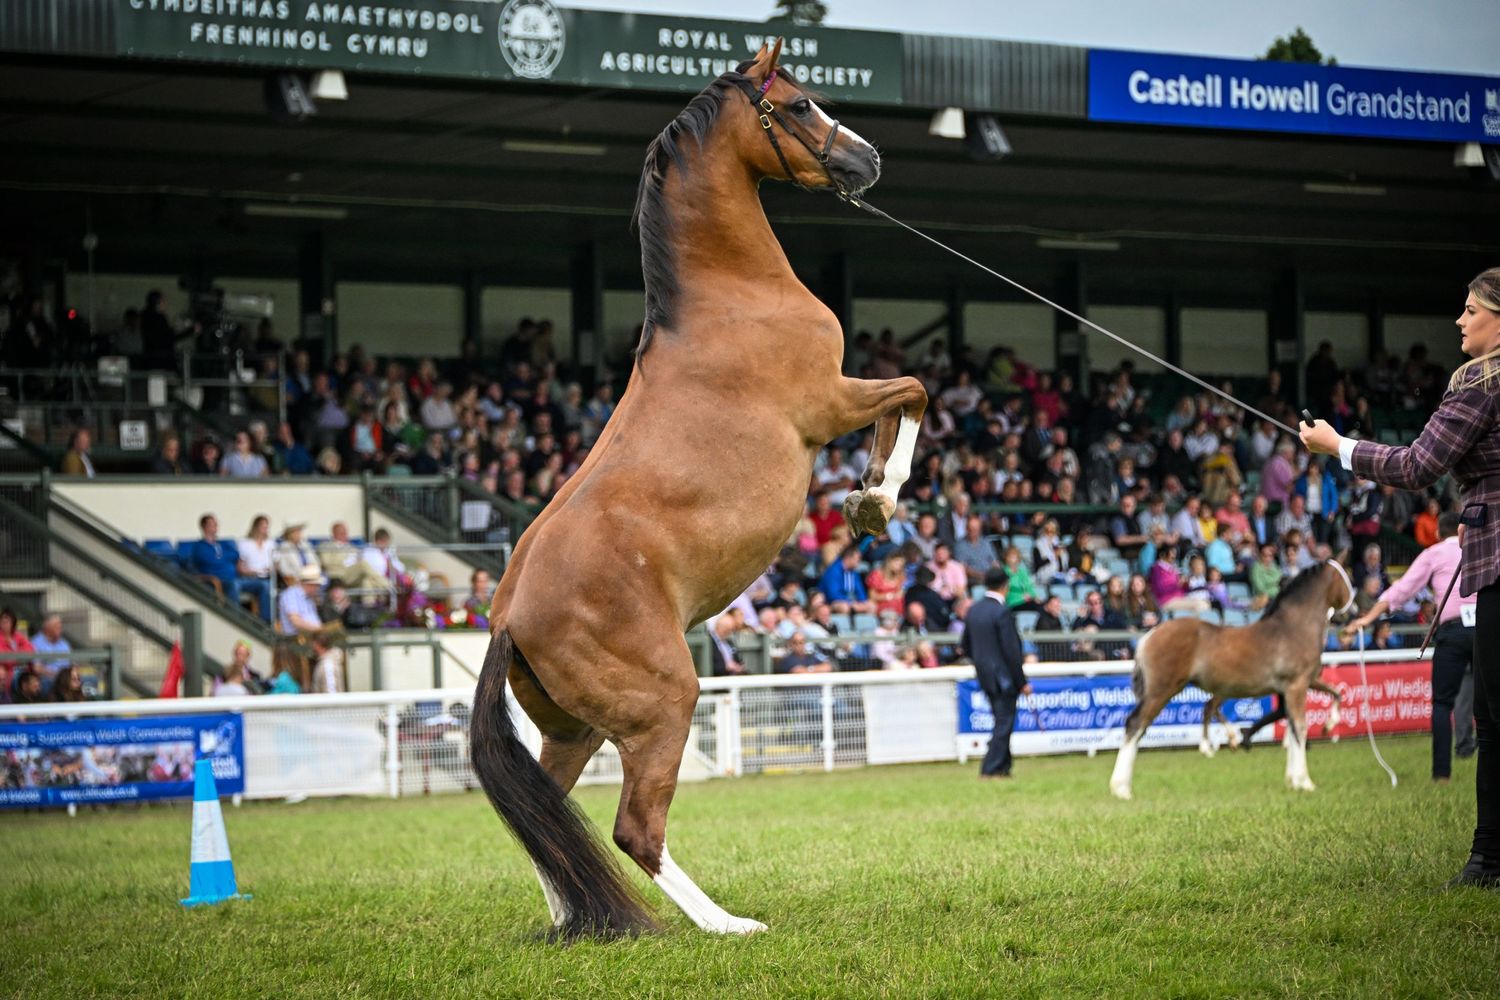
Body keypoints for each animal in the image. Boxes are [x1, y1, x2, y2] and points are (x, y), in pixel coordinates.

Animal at [468, 40, 926, 939]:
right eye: (798, 102)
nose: (868, 160)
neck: (729, 301)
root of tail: (508, 616)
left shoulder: (841, 400)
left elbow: (905, 404)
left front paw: (866, 497)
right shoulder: (830, 402)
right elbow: (916, 392)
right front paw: (876, 498)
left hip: (575, 729)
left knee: (548, 818)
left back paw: (578, 919)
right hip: (663, 703)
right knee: (633, 828)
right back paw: (725, 925)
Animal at [1108, 560, 1354, 800]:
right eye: (1346, 579)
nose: (1349, 613)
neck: (1293, 628)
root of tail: (1149, 636)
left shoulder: (1302, 684)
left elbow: (1333, 696)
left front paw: (1325, 730)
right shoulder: (1297, 686)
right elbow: (1301, 728)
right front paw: (1304, 781)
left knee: (1145, 727)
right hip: (1161, 692)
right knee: (1136, 724)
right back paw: (1121, 788)